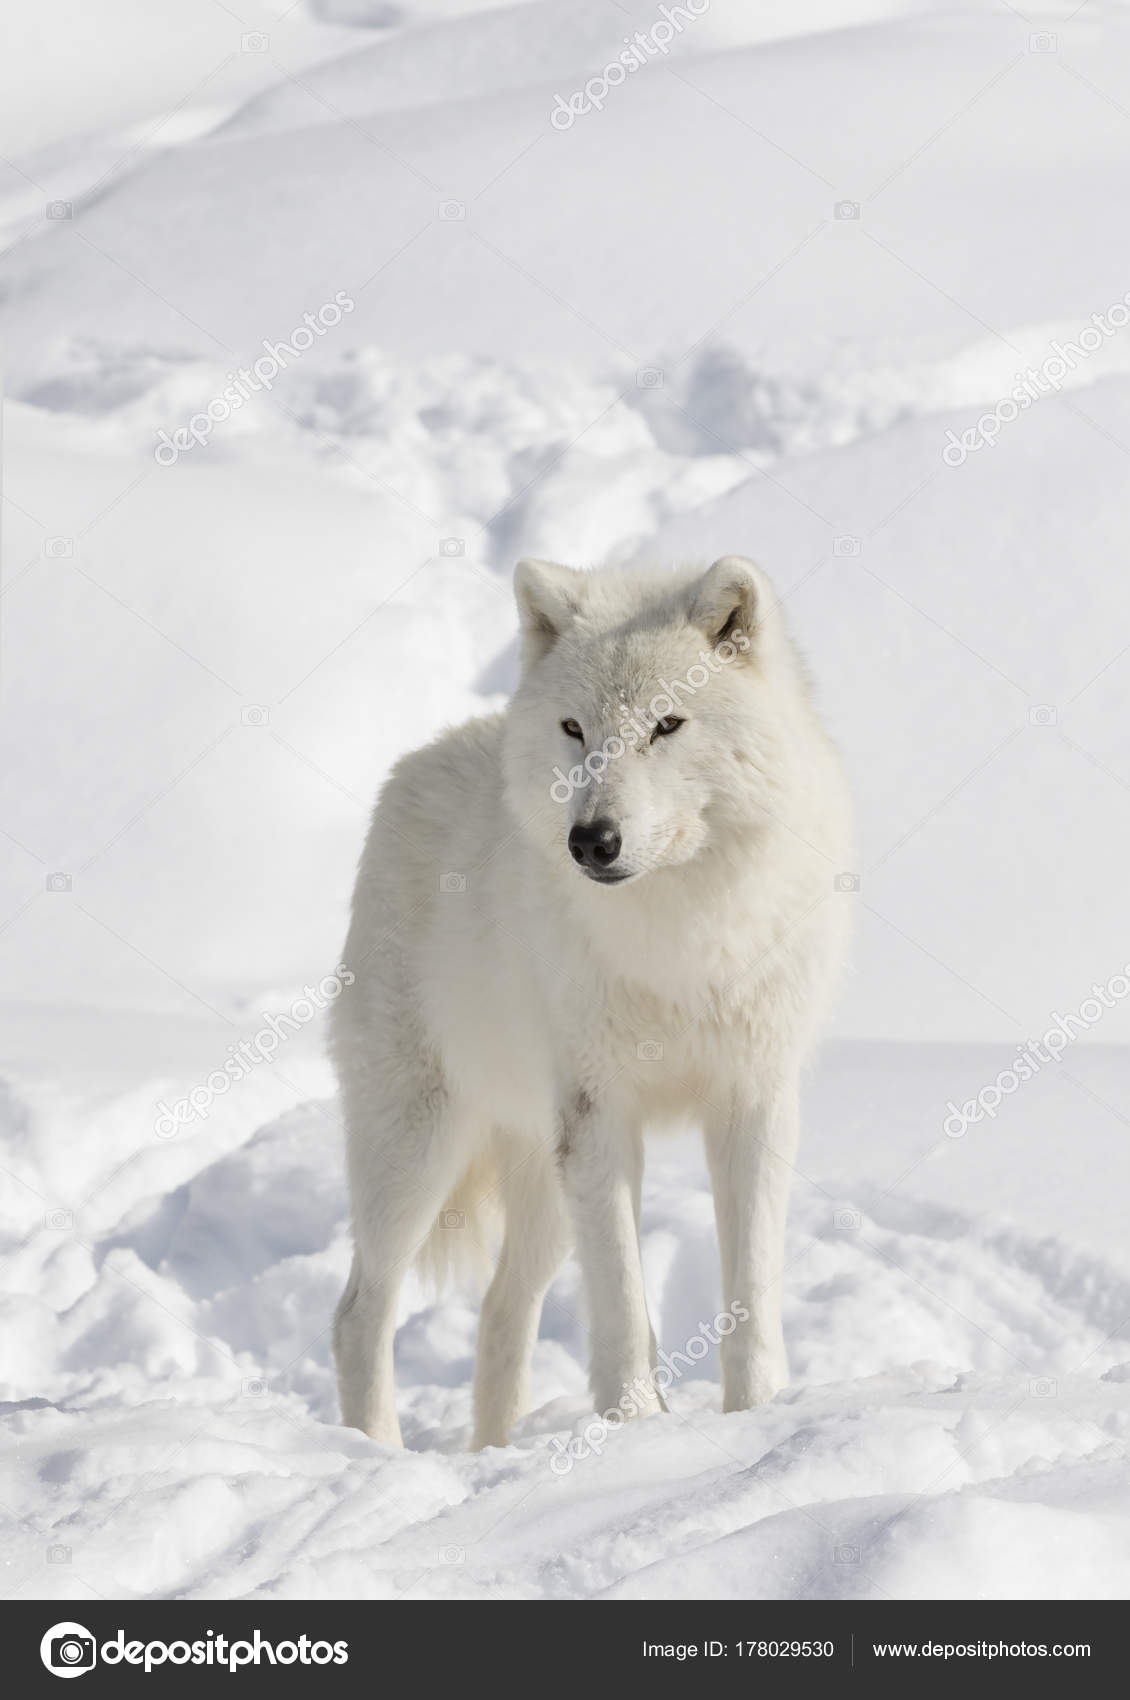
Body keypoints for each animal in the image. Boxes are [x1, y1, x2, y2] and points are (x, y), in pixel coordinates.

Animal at [331, 555, 852, 1448]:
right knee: (359, 1312)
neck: (681, 934)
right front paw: (636, 1428)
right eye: (575, 729)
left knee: (500, 1310)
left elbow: (749, 1298)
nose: (591, 841)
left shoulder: (753, 1099)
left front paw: (755, 1419)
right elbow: (621, 1307)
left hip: (539, 1181)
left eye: (667, 725)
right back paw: (377, 1454)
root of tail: (419, 759)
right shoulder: (600, 1115)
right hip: (421, 1148)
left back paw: (494, 1454)